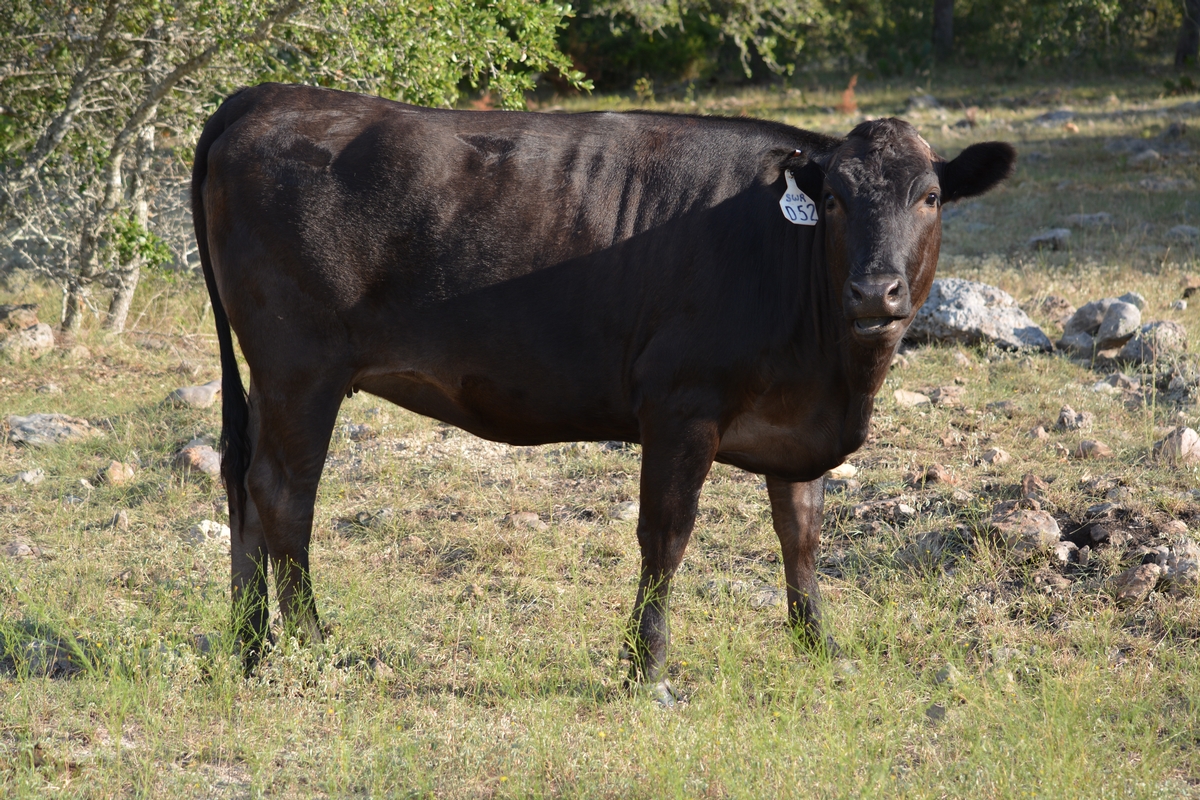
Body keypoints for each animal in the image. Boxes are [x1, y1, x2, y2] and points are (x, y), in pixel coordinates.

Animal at [192, 83, 1015, 703]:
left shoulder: (795, 427)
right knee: (284, 493)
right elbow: (666, 538)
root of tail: (278, 95)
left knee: (244, 483)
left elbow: (802, 537)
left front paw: (822, 649)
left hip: (272, 376)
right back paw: (312, 645)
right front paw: (648, 674)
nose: (875, 291)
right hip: (302, 365)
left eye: (931, 196)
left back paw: (251, 647)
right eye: (837, 199)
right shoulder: (681, 405)